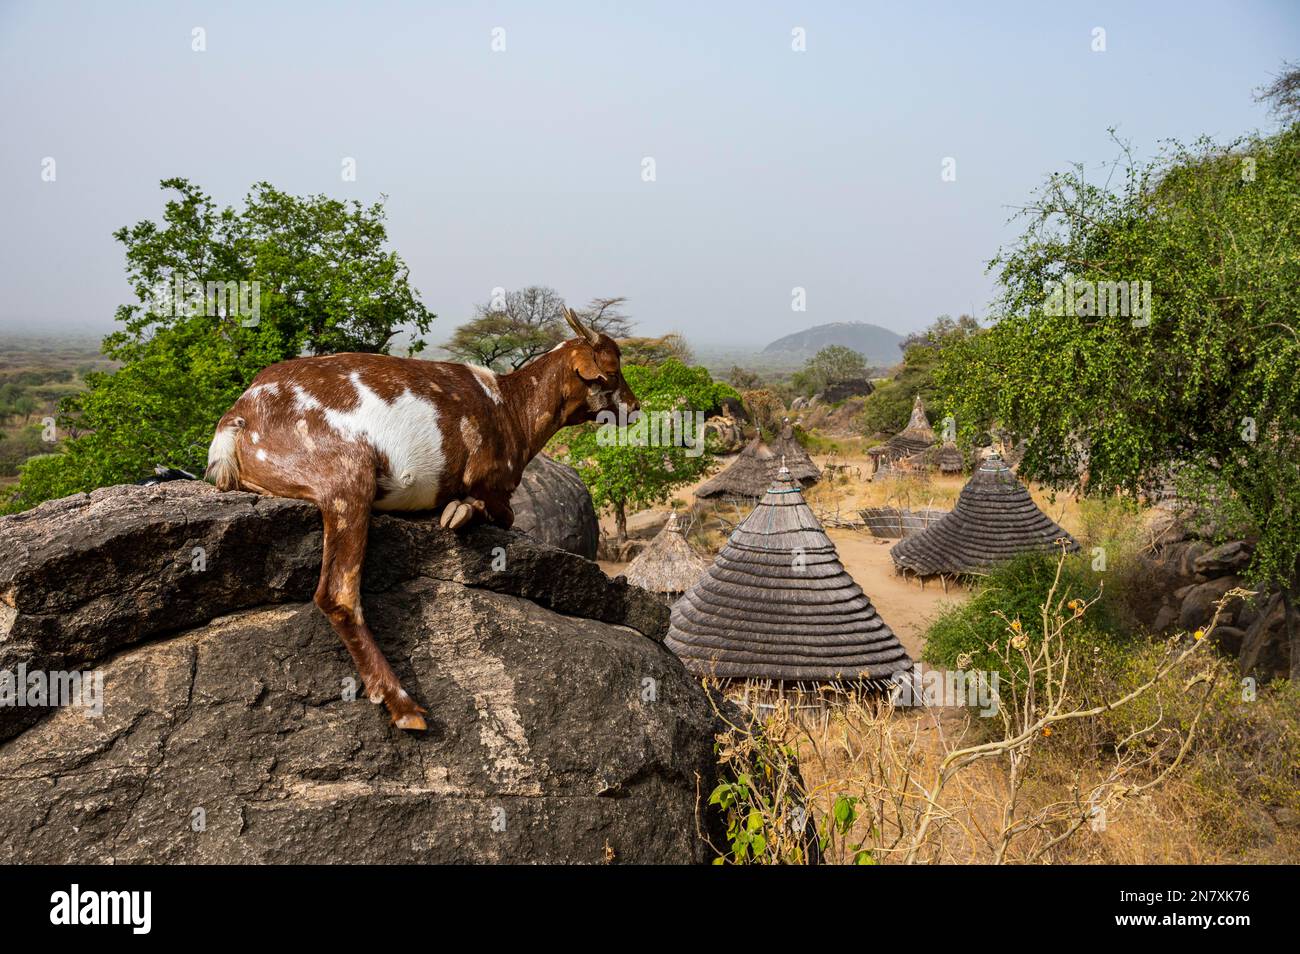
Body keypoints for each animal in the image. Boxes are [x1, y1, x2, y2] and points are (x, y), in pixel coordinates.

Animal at [205, 308, 639, 730]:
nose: (634, 407)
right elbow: (502, 511)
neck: (510, 406)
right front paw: (459, 511)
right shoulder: (493, 483)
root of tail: (239, 417)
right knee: (337, 594)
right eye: (612, 370)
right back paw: (403, 706)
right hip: (346, 476)